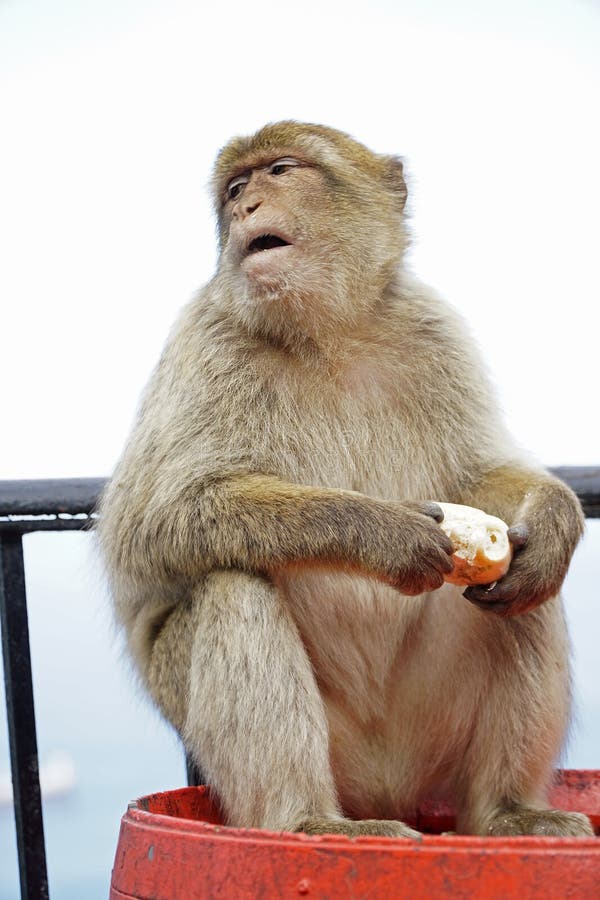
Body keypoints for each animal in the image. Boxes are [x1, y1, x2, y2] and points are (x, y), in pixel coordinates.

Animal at [98, 121, 594, 839]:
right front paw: (382, 533)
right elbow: (156, 524)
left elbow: (474, 477)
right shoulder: (205, 342)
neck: (328, 332)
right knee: (233, 585)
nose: (245, 209)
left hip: (426, 731)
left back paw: (508, 810)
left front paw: (555, 517)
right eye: (235, 188)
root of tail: (388, 789)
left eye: (280, 171)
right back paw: (309, 822)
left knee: (527, 599)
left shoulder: (434, 332)